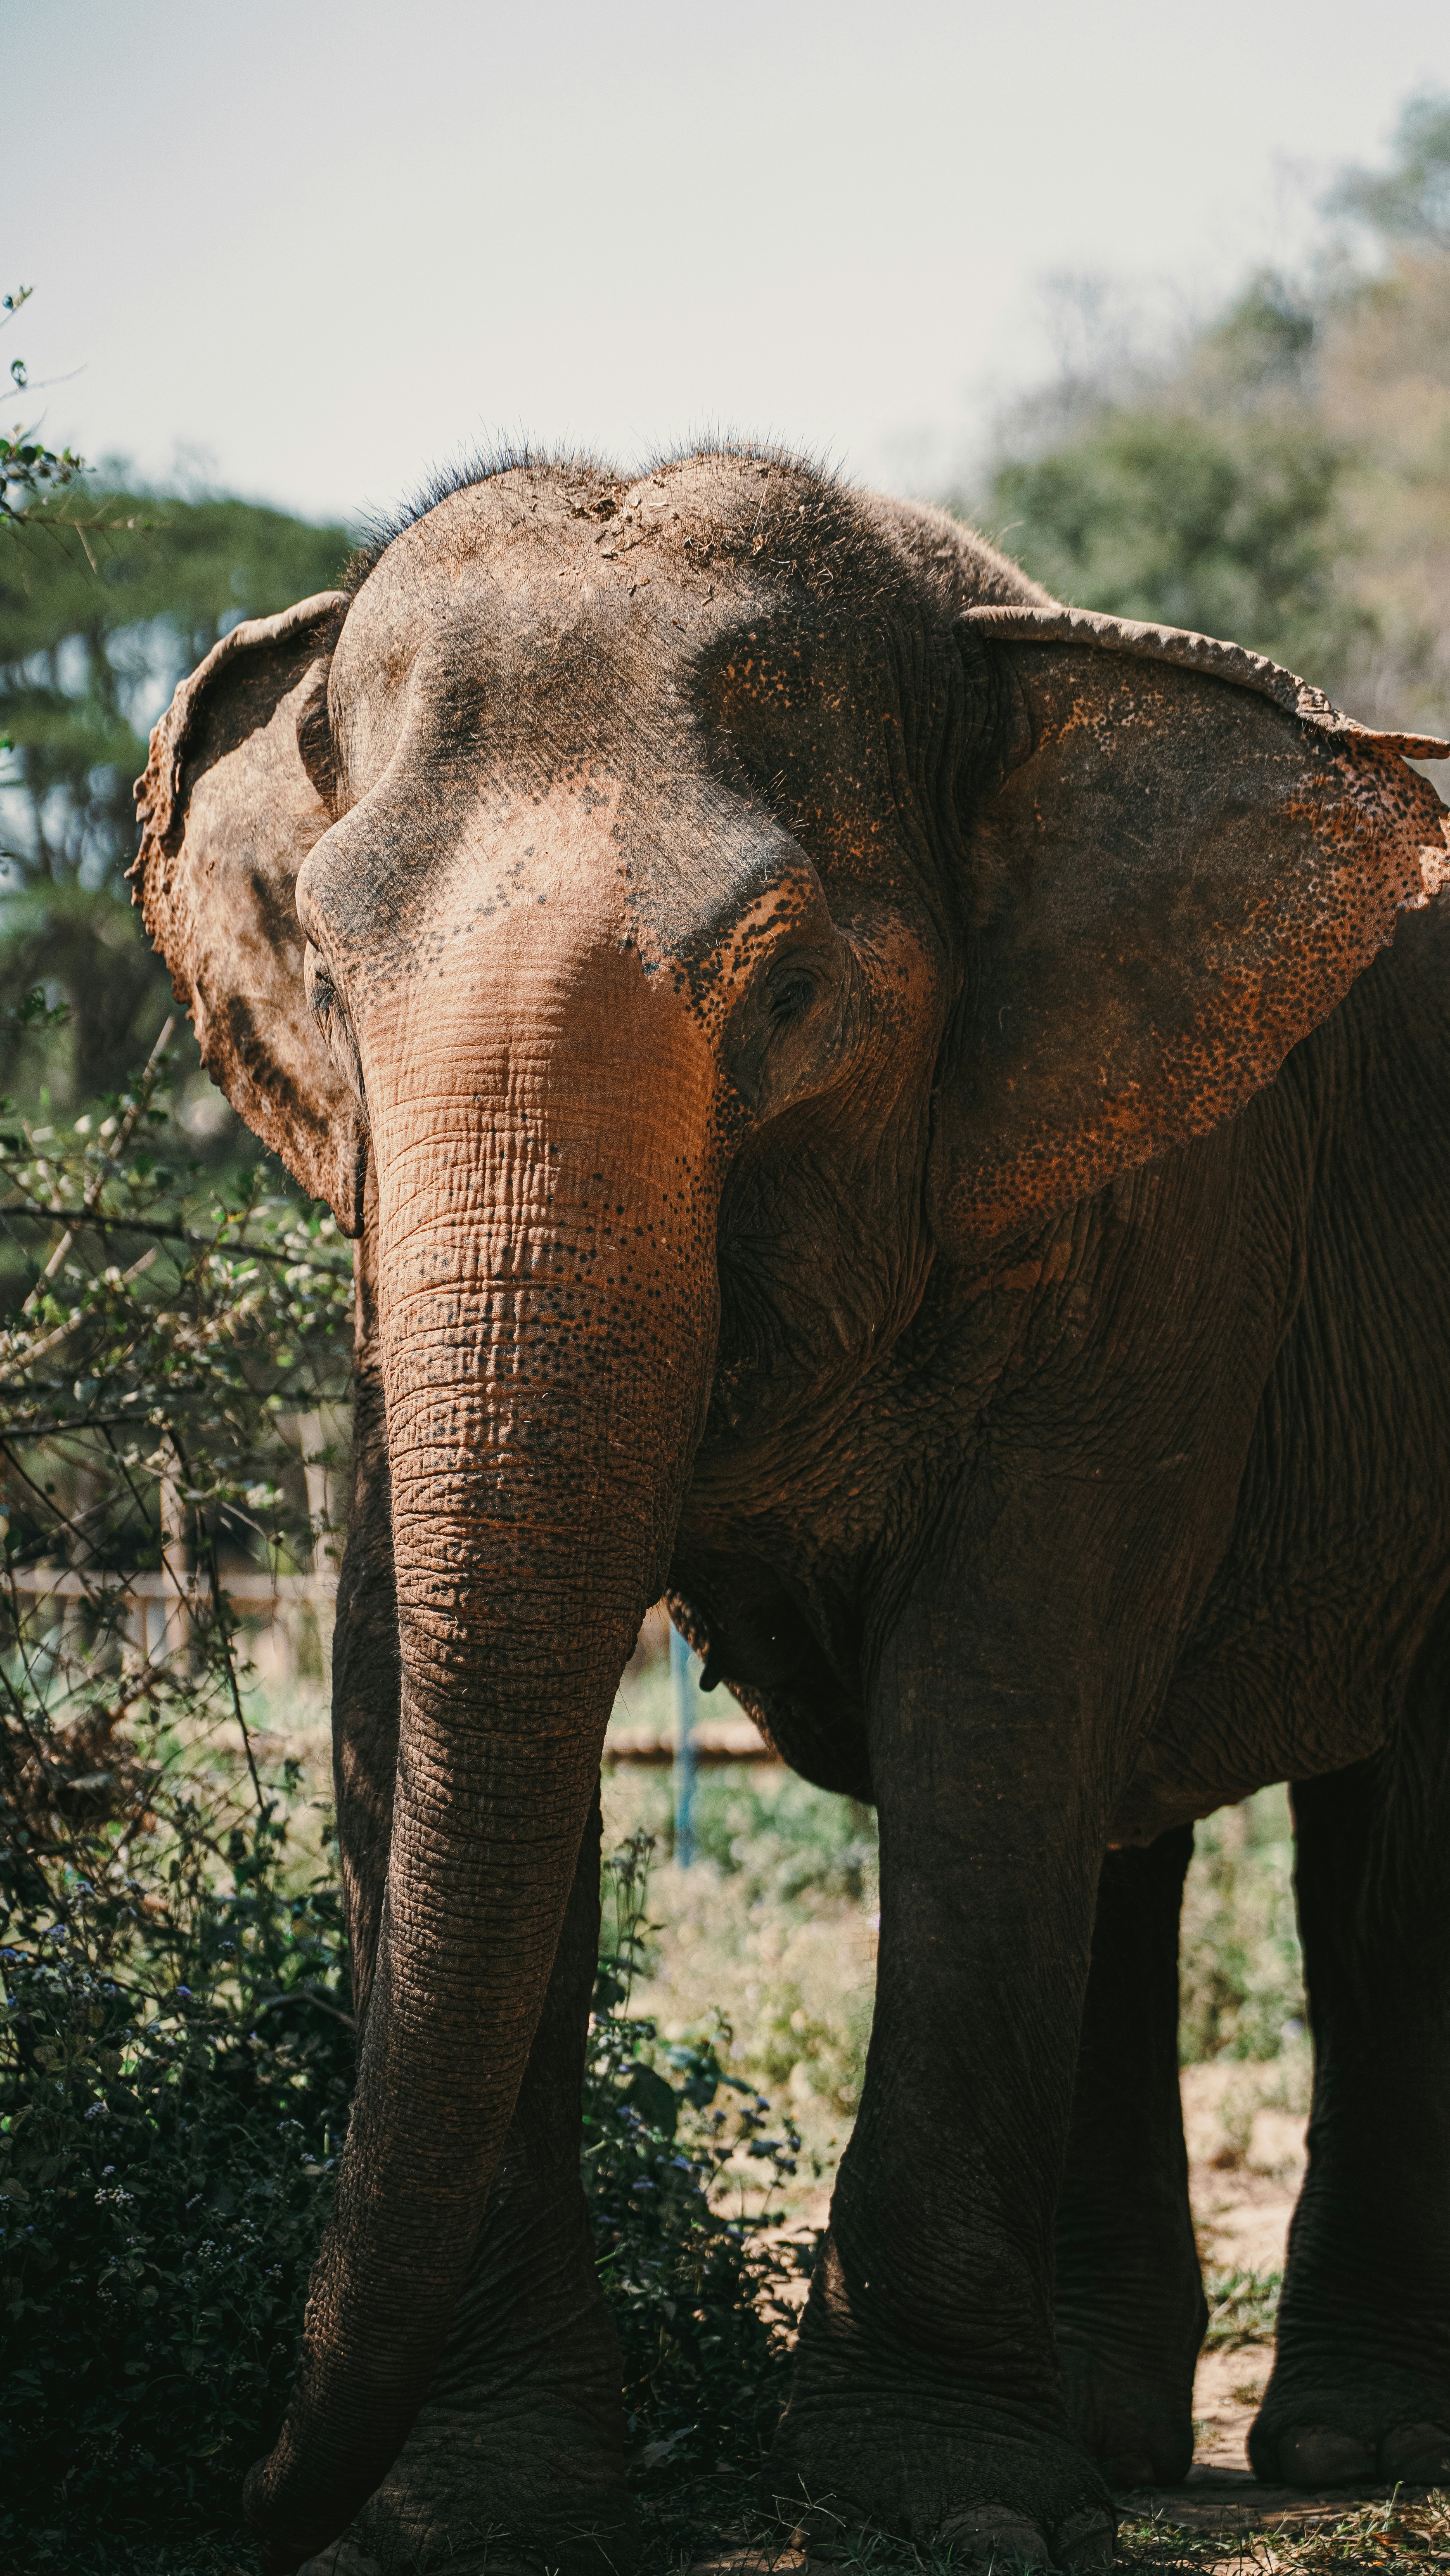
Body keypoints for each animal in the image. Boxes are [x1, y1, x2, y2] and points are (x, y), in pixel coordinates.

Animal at [131, 446, 1450, 2576]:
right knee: (1129, 1840)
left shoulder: (1150, 1219)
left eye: (791, 991)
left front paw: (949, 2503)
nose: (241, 2490)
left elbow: (986, 1712)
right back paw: (1116, 2432)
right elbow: (400, 1687)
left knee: (1367, 1842)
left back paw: (1342, 2442)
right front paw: (472, 2505)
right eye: (326, 980)